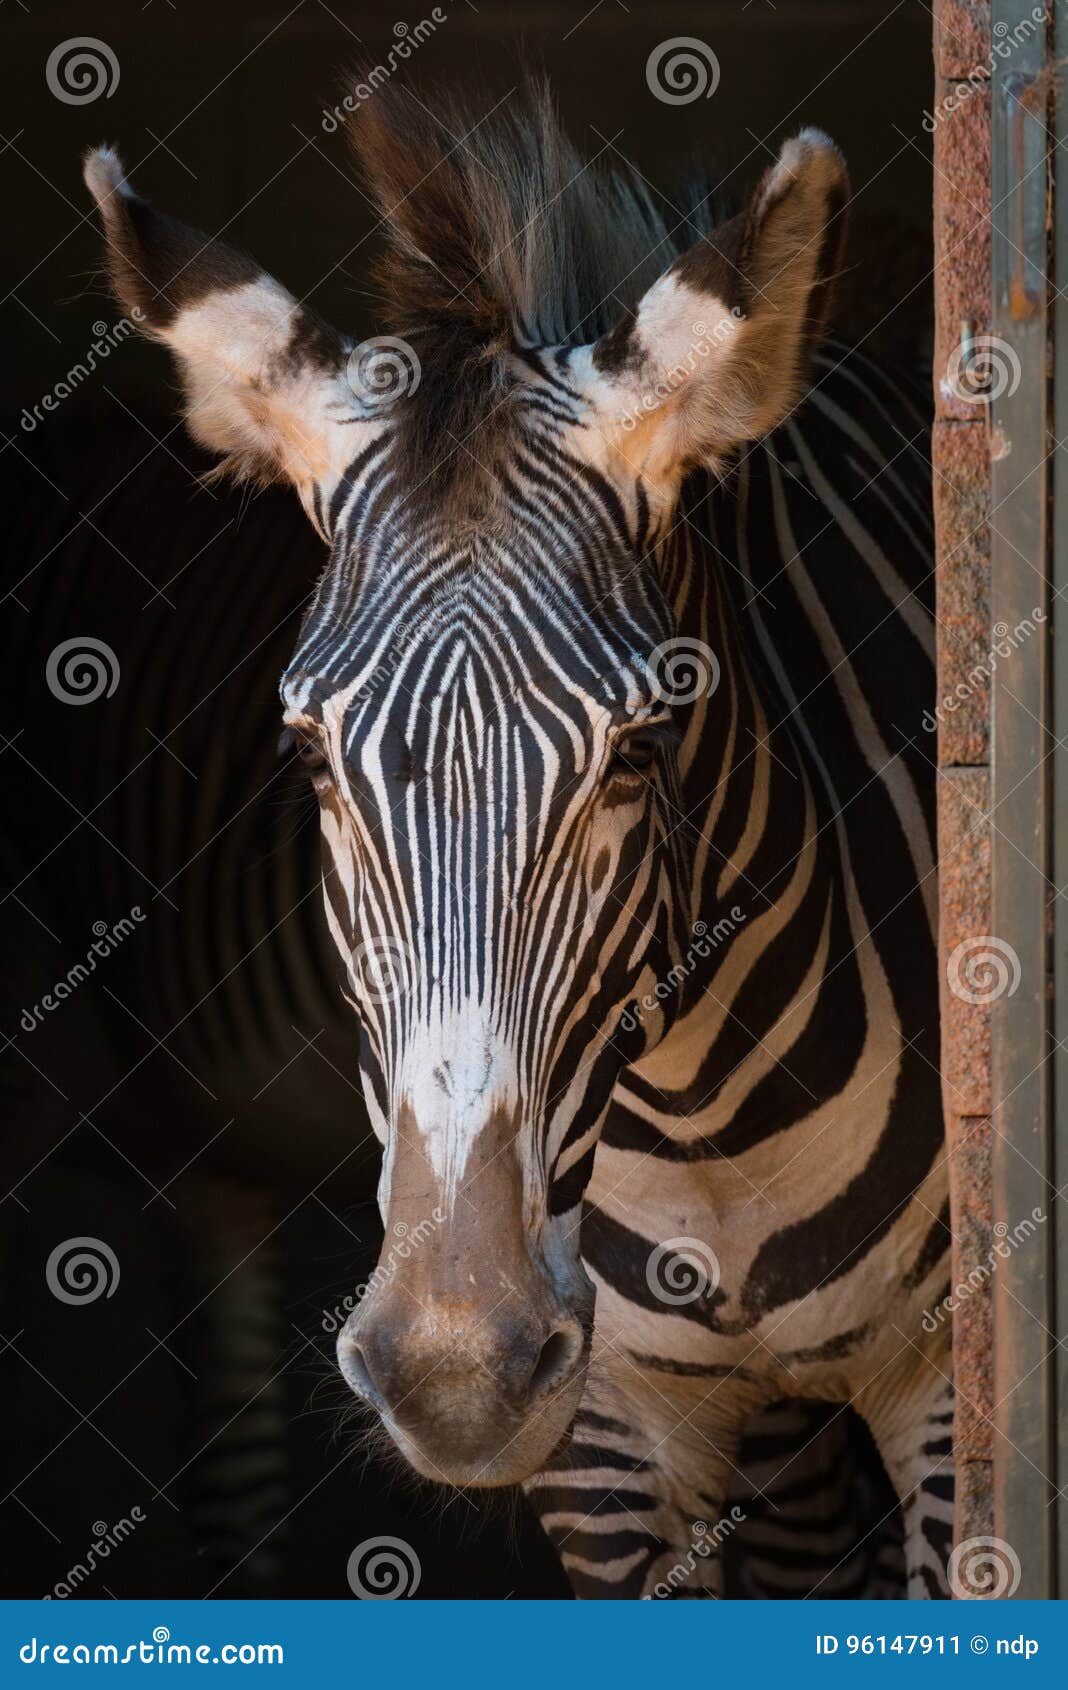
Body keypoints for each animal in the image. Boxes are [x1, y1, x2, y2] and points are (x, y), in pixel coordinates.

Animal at [81, 76, 951, 1598]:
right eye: (308, 759)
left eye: (641, 752)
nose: (453, 1371)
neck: (710, 1122)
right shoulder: (604, 1444)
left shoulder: (960, 1375)